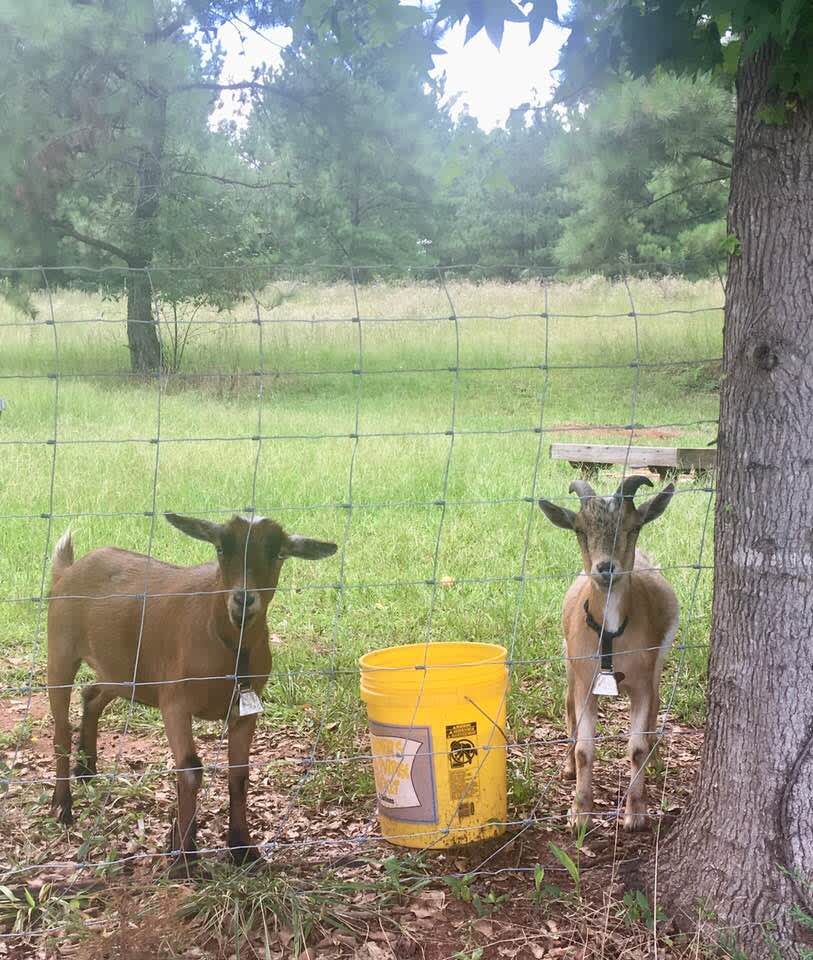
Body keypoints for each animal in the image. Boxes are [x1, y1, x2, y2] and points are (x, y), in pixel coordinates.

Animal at [47, 513, 337, 875]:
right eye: (221, 547)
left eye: (279, 553)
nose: (243, 600)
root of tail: (69, 569)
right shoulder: (175, 703)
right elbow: (190, 770)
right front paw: (185, 856)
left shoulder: (245, 711)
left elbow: (239, 775)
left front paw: (243, 849)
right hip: (61, 651)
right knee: (60, 727)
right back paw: (62, 805)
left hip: (124, 672)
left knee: (92, 693)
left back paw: (86, 768)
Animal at [538, 475, 678, 831]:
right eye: (579, 529)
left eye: (633, 526)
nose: (605, 568)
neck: (611, 637)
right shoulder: (586, 679)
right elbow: (585, 750)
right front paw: (579, 815)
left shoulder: (641, 681)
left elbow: (637, 746)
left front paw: (636, 814)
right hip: (569, 663)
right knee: (567, 705)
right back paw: (567, 767)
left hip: (658, 662)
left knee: (657, 703)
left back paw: (656, 760)